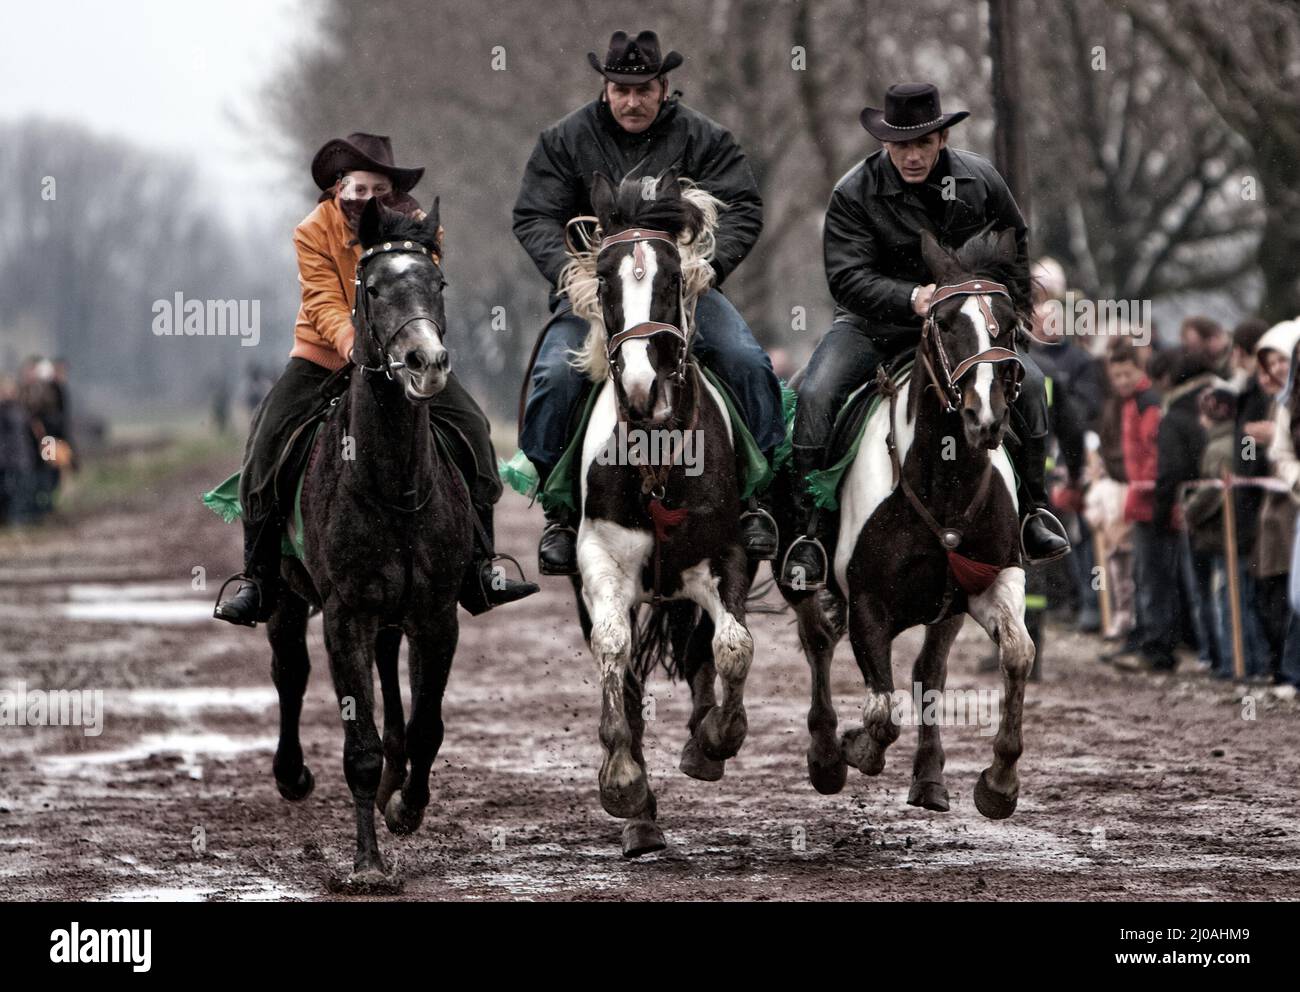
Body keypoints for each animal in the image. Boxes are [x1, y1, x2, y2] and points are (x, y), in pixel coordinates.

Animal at [266, 196, 473, 889]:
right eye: (374, 287)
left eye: (438, 283)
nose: (425, 364)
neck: (391, 483)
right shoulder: (345, 614)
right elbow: (359, 748)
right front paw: (367, 864)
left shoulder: (435, 614)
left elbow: (428, 722)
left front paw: (406, 806)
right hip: (284, 597)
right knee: (290, 672)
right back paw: (292, 774)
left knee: (390, 679)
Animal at [559, 171, 756, 857]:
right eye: (605, 281)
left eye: (672, 278)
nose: (644, 387)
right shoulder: (599, 564)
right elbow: (614, 651)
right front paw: (623, 784)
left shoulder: (727, 556)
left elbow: (732, 647)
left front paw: (715, 741)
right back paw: (642, 819)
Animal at [777, 228, 1035, 820]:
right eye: (945, 323)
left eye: (1008, 322)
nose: (985, 418)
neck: (944, 481)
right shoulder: (868, 604)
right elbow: (880, 713)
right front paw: (854, 749)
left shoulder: (994, 581)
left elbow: (1017, 655)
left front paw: (999, 782)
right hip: (798, 579)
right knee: (818, 640)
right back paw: (826, 756)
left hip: (947, 609)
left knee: (929, 674)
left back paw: (930, 779)